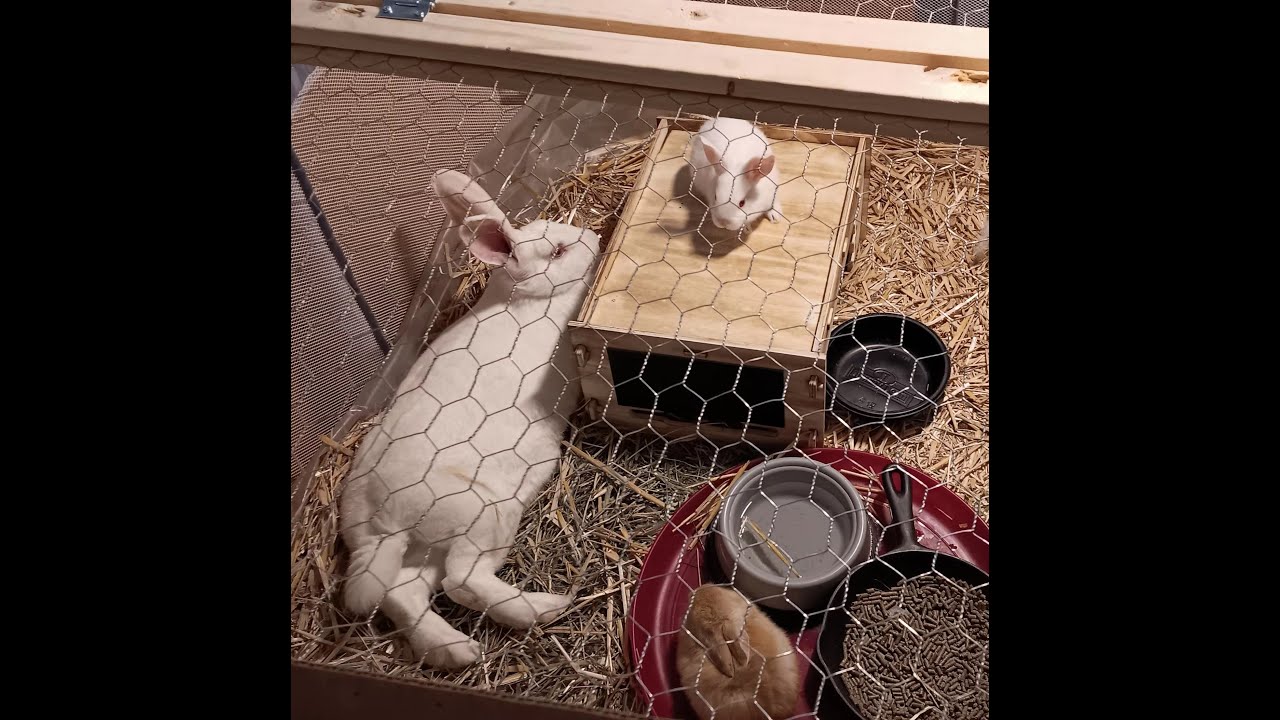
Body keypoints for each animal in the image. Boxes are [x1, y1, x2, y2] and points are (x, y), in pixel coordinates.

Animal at [339, 169, 602, 670]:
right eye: (557, 252)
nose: (595, 239)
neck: (523, 300)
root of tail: (383, 523)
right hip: (485, 516)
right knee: (461, 582)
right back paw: (546, 607)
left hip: (426, 549)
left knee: (404, 594)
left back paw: (455, 651)